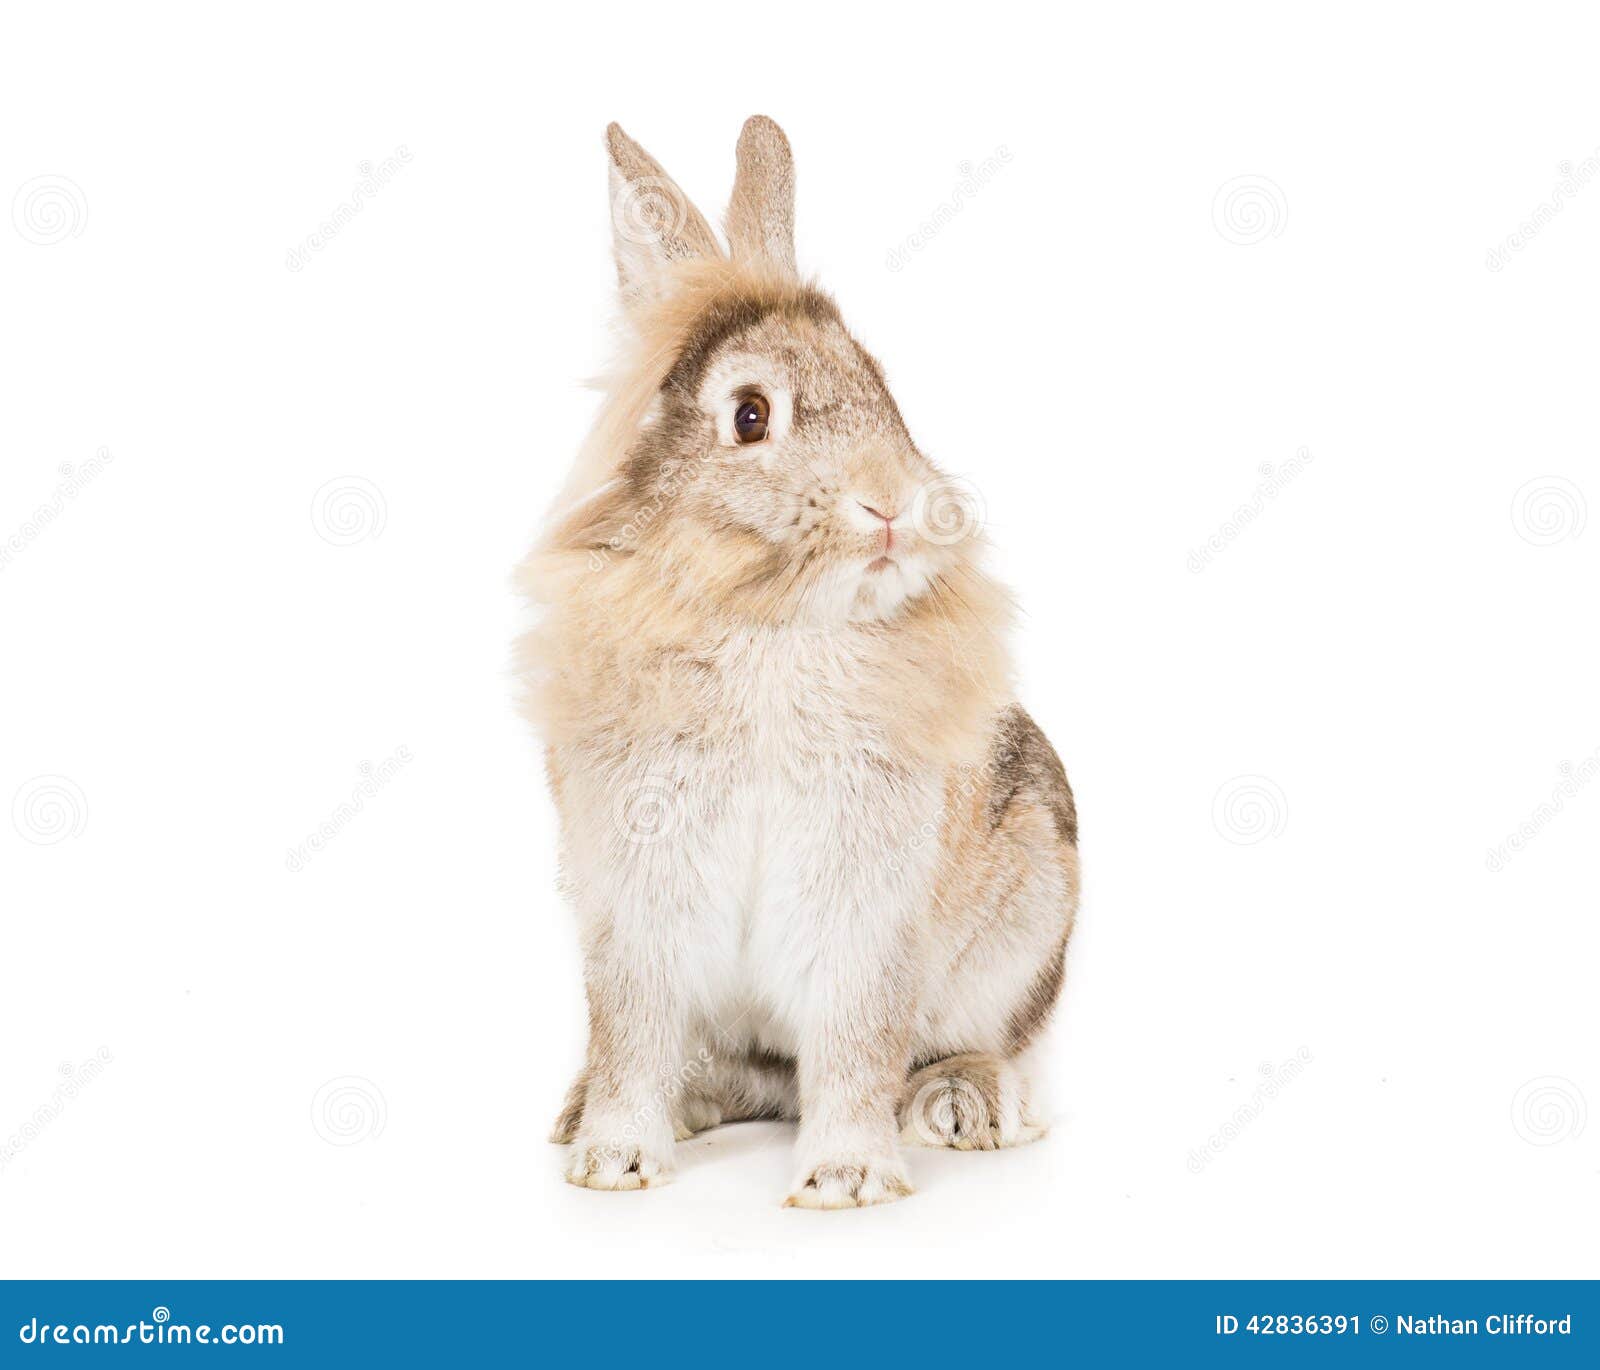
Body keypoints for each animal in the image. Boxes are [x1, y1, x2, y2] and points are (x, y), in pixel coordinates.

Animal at [516, 116, 1079, 1208]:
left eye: (879, 384)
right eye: (749, 414)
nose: (894, 505)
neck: (769, 622)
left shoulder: (866, 899)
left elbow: (858, 1037)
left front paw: (847, 1179)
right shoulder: (634, 895)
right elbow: (633, 1029)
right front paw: (612, 1161)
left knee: (970, 1043)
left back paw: (964, 1101)